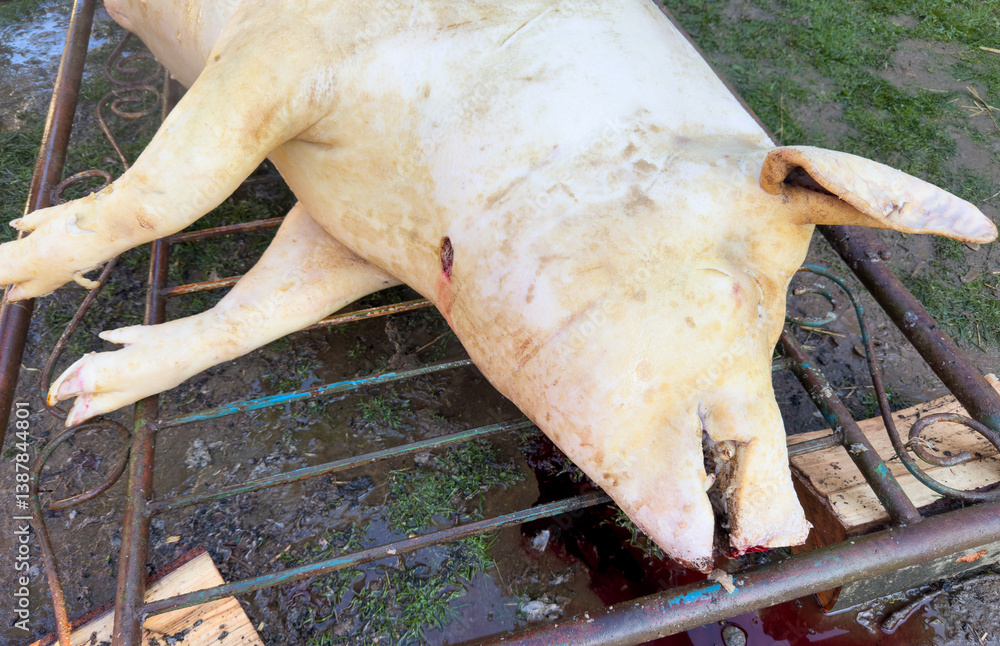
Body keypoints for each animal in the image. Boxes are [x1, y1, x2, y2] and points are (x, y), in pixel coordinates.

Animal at [1, 0, 994, 571]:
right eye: (739, 290)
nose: (787, 534)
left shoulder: (353, 225)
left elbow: (270, 305)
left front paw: (75, 395)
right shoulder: (285, 48)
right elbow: (175, 191)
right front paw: (21, 257)